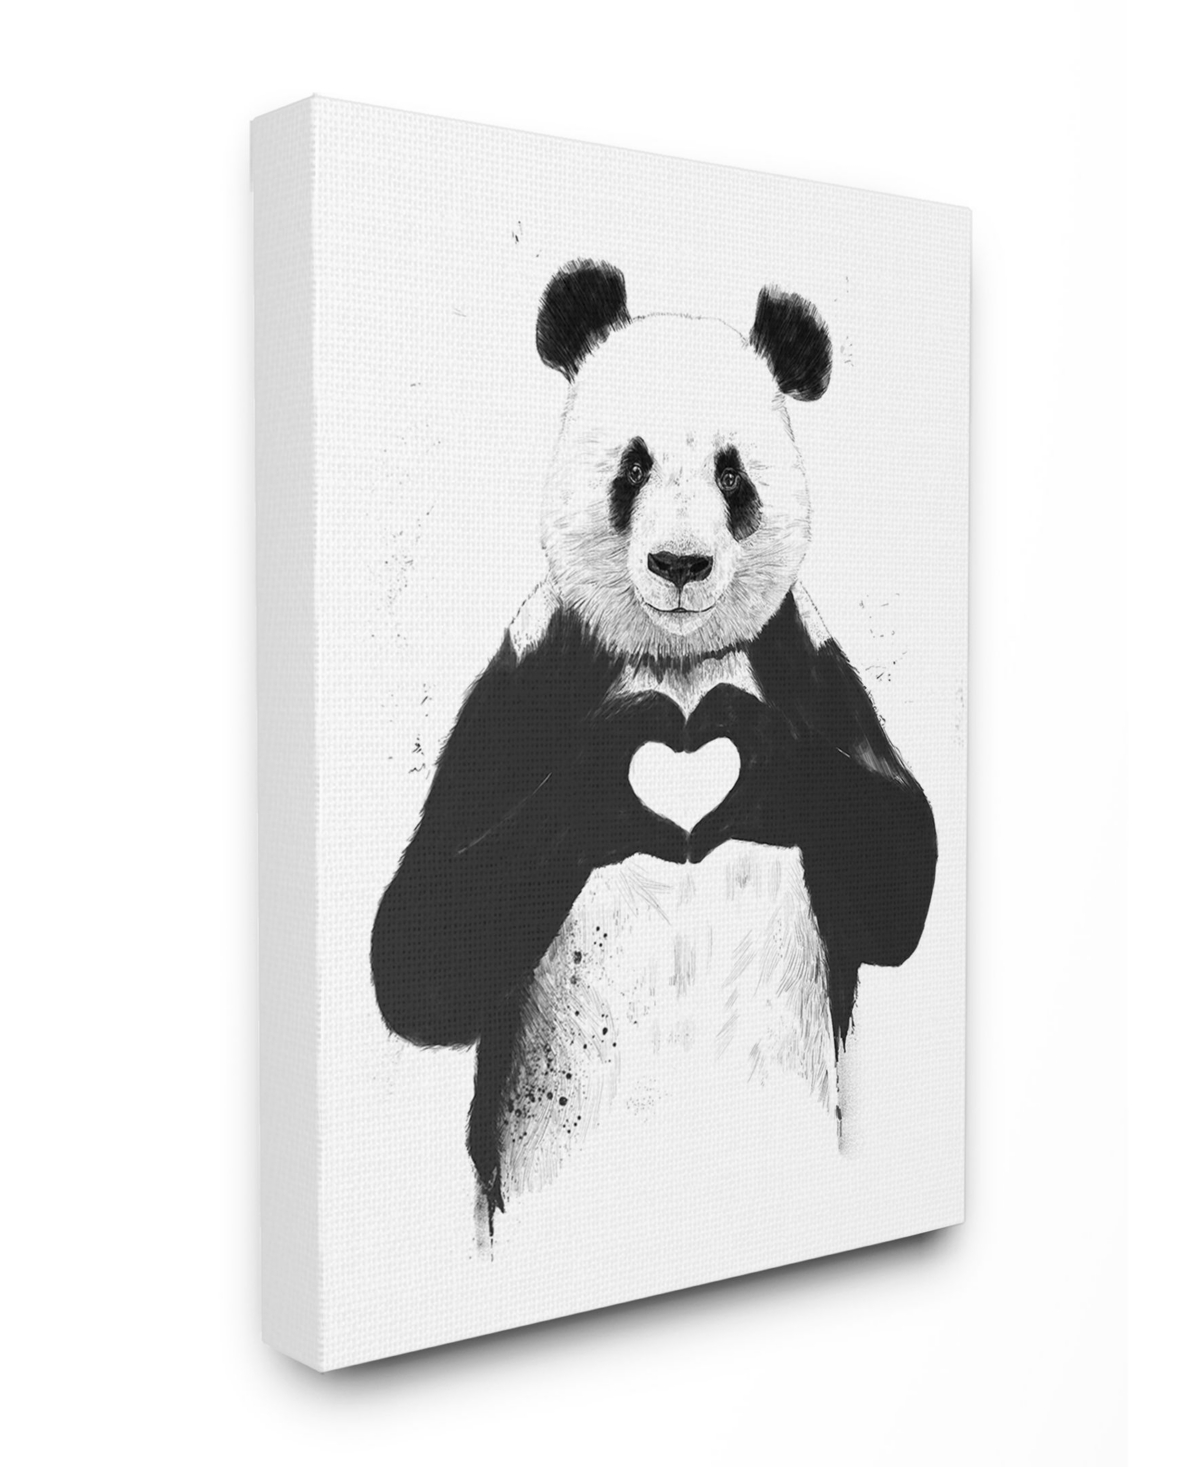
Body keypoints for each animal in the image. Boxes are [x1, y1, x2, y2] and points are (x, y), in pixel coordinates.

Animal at [371, 260, 937, 1231]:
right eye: (632, 466)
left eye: (732, 473)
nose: (680, 565)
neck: (675, 663)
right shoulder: (531, 684)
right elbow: (421, 949)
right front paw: (622, 775)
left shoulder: (805, 668)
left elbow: (895, 871)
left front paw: (748, 760)